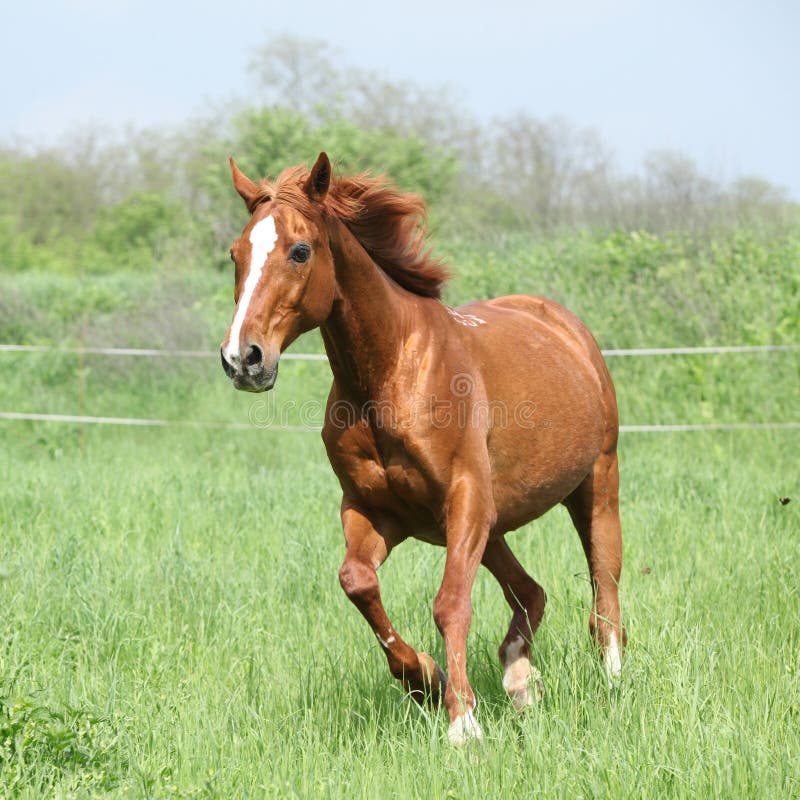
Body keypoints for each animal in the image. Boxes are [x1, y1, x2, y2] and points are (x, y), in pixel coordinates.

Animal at [219, 152, 626, 746]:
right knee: (531, 592)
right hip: (493, 523)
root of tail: (564, 324)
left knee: (605, 585)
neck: (390, 376)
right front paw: (424, 681)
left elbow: (450, 603)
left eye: (300, 251)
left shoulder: (464, 500)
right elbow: (357, 582)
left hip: (593, 486)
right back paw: (519, 678)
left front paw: (463, 722)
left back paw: (614, 679)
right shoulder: (376, 512)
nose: (242, 359)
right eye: (236, 253)